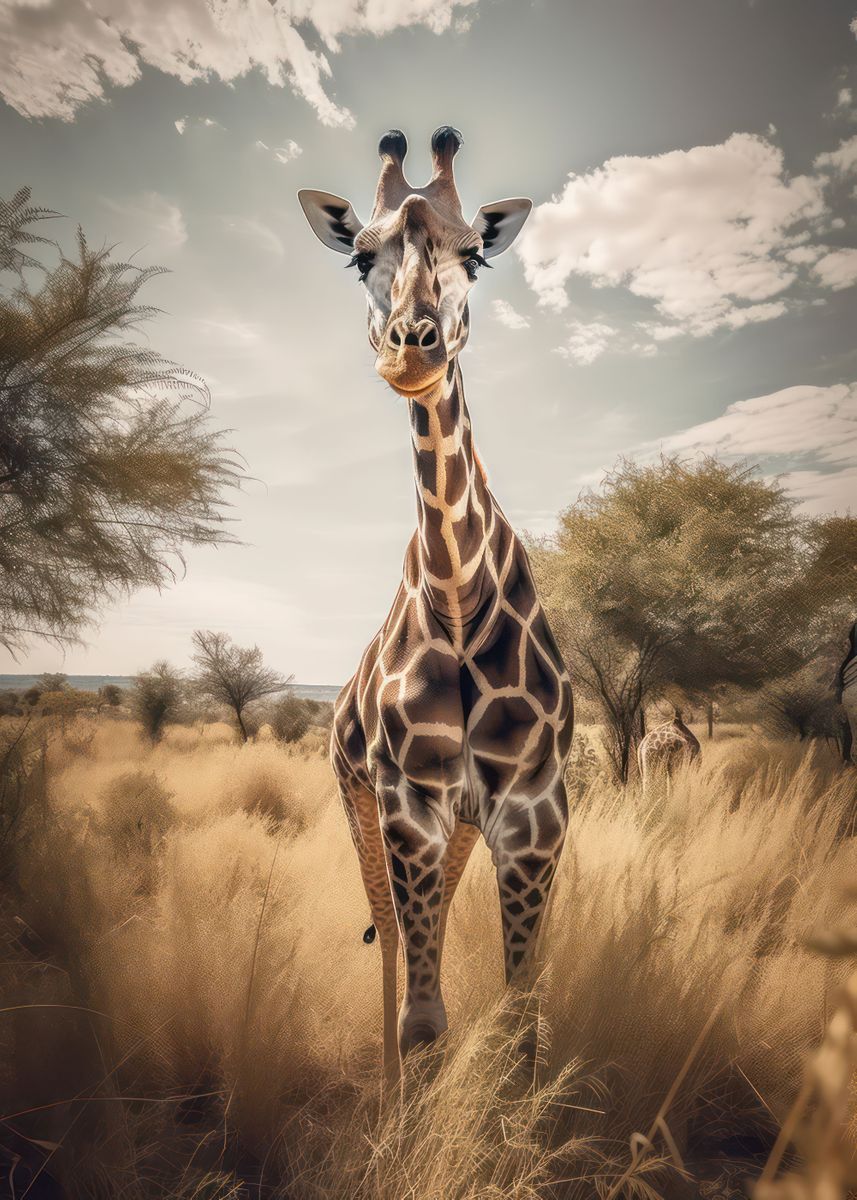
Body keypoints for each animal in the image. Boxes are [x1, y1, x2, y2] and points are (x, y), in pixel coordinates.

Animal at [298, 127, 574, 1077]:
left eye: (475, 257)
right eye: (359, 257)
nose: (411, 350)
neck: (459, 600)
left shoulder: (534, 810)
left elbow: (521, 1016)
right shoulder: (405, 798)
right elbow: (424, 1020)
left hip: (456, 824)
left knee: (432, 921)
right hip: (358, 799)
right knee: (387, 941)